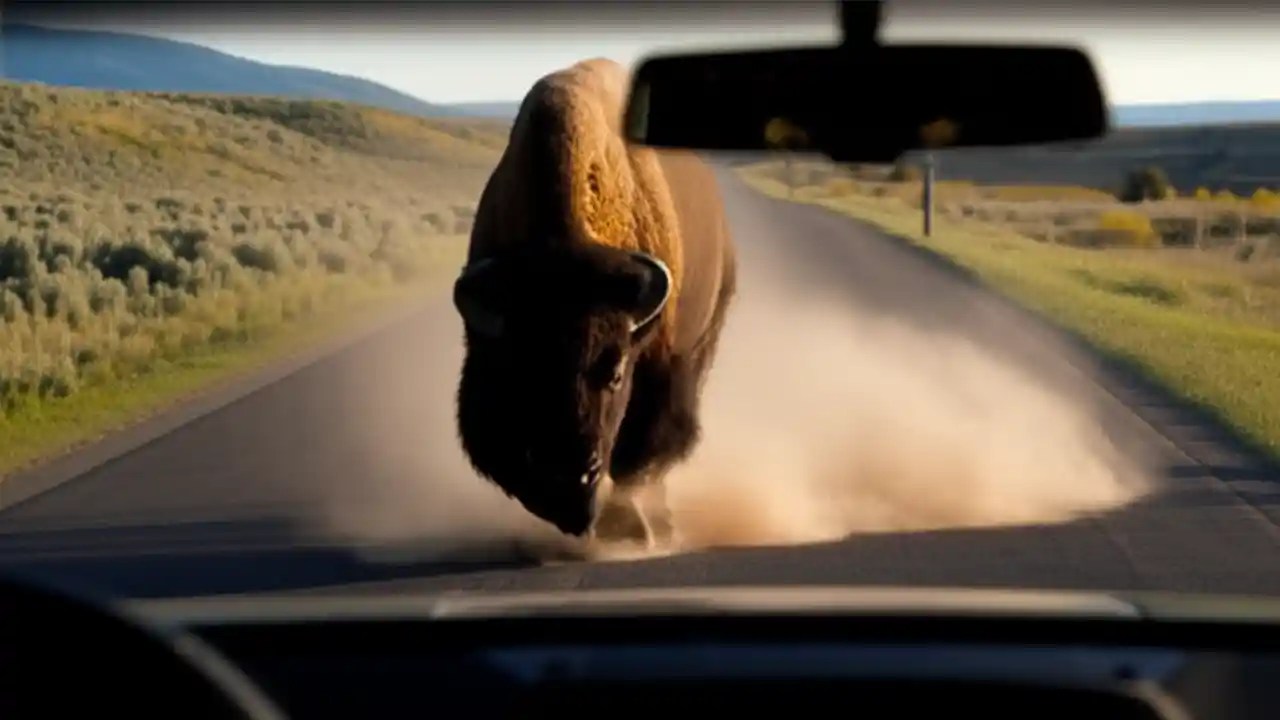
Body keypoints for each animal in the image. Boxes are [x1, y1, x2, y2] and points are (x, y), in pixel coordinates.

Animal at [452, 58, 736, 545]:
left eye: (616, 373)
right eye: (523, 374)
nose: (573, 478)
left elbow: (638, 459)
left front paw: (629, 527)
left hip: (705, 338)